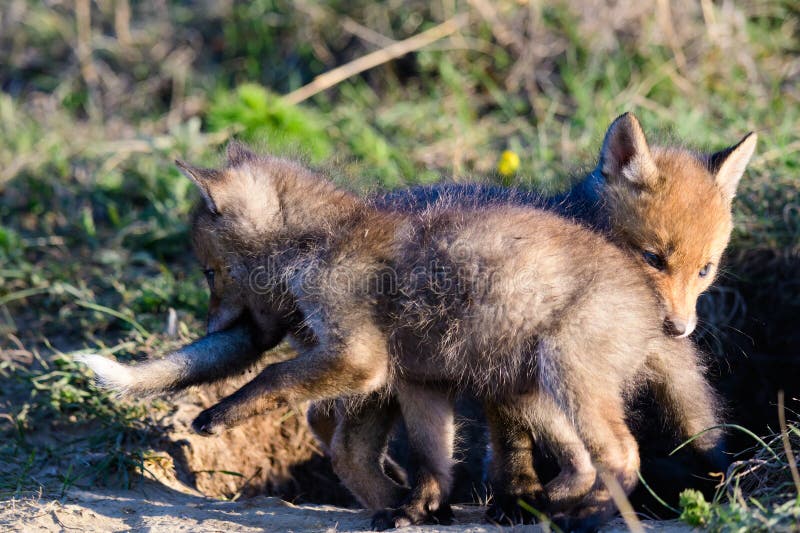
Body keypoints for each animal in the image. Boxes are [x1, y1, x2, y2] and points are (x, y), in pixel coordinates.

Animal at [81, 141, 726, 530]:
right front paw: (416, 508)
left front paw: (221, 412)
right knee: (582, 460)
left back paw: (584, 516)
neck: (323, 239)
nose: (213, 329)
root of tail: (653, 313)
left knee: (622, 453)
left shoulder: (360, 359)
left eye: (210, 273)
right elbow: (424, 457)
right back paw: (549, 502)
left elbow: (277, 376)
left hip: (562, 371)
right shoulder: (414, 377)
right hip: (527, 386)